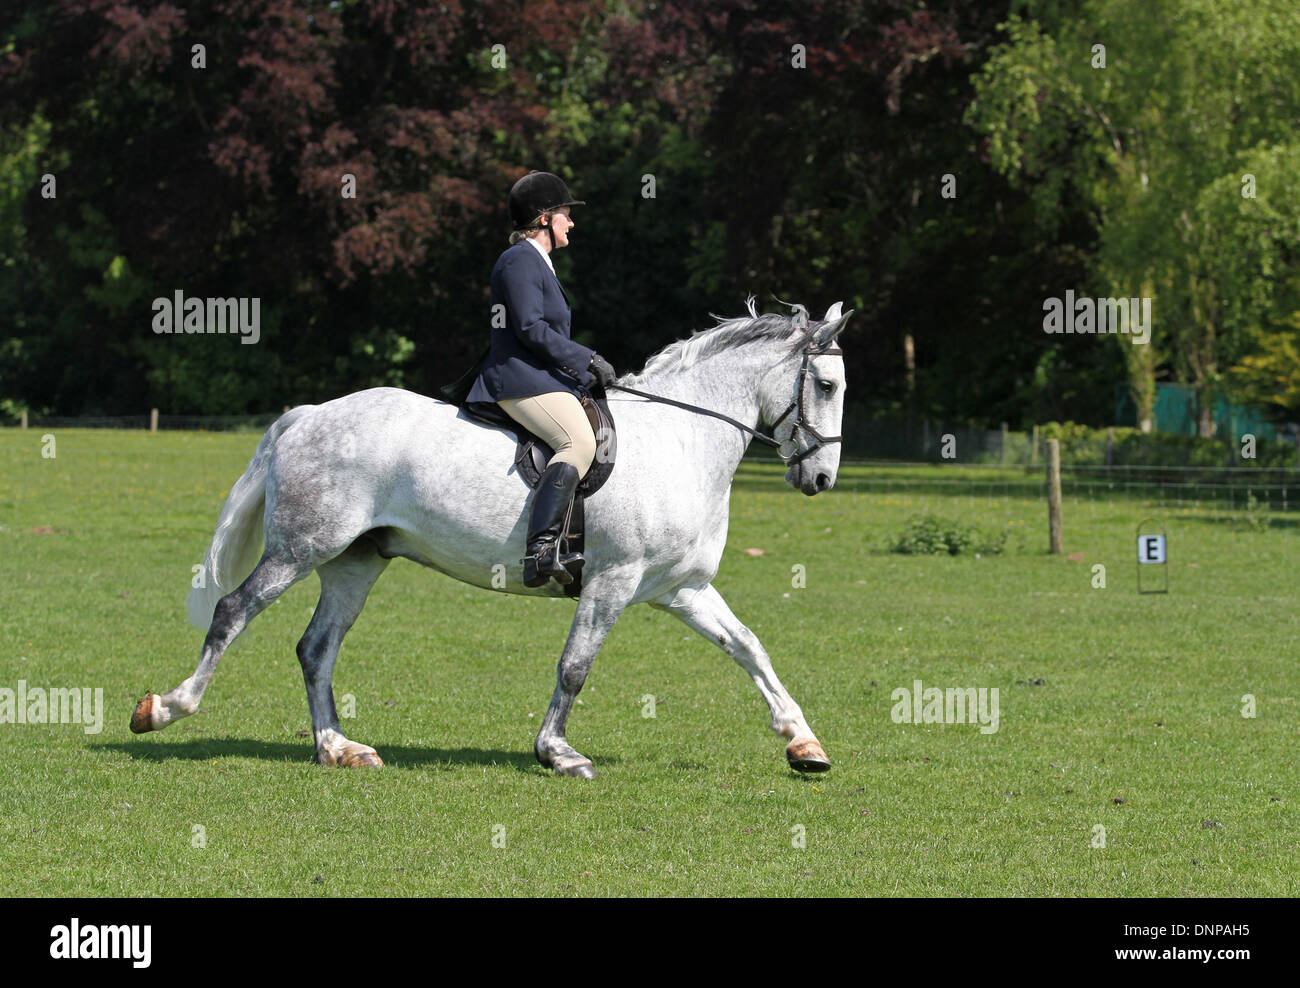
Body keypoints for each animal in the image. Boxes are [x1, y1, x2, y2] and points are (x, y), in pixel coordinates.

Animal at [131, 298, 852, 778]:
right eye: (825, 384)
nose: (820, 478)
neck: (682, 441)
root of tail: (305, 415)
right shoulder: (613, 581)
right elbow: (575, 666)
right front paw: (557, 753)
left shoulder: (680, 588)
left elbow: (750, 647)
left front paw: (804, 743)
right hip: (301, 549)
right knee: (233, 612)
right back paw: (164, 709)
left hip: (354, 562)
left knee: (315, 648)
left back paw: (338, 747)